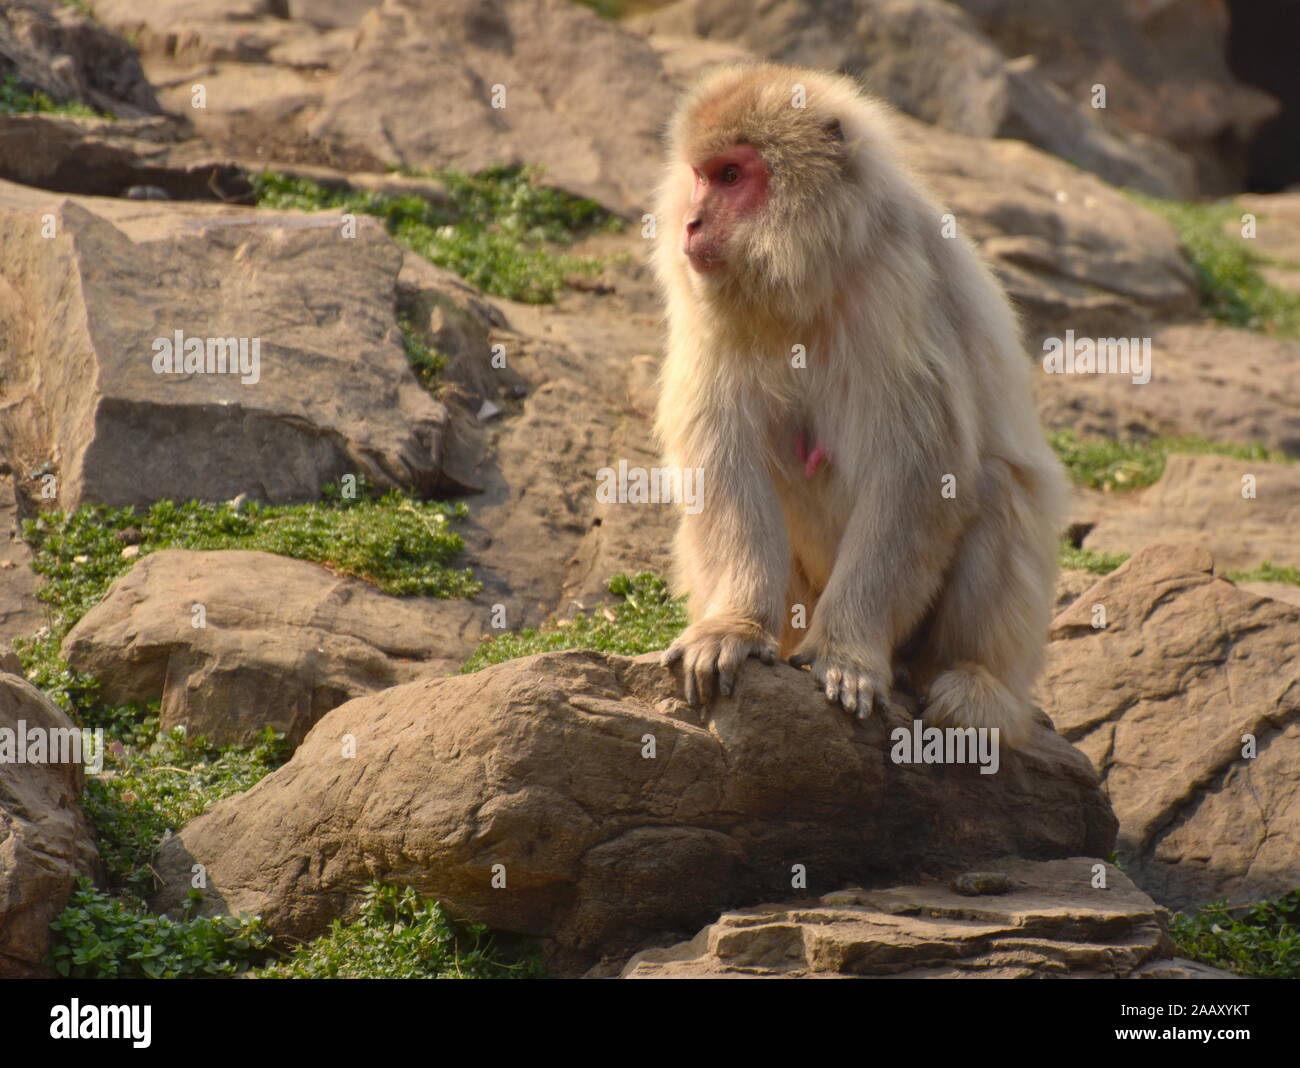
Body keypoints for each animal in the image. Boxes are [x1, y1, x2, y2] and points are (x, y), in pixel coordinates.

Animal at [653, 64, 1067, 749]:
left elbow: (921, 471)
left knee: (996, 482)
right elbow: (722, 455)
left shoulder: (896, 287)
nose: (690, 223)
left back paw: (977, 686)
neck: (807, 276)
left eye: (732, 176)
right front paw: (734, 627)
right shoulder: (712, 312)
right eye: (700, 175)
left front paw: (847, 654)